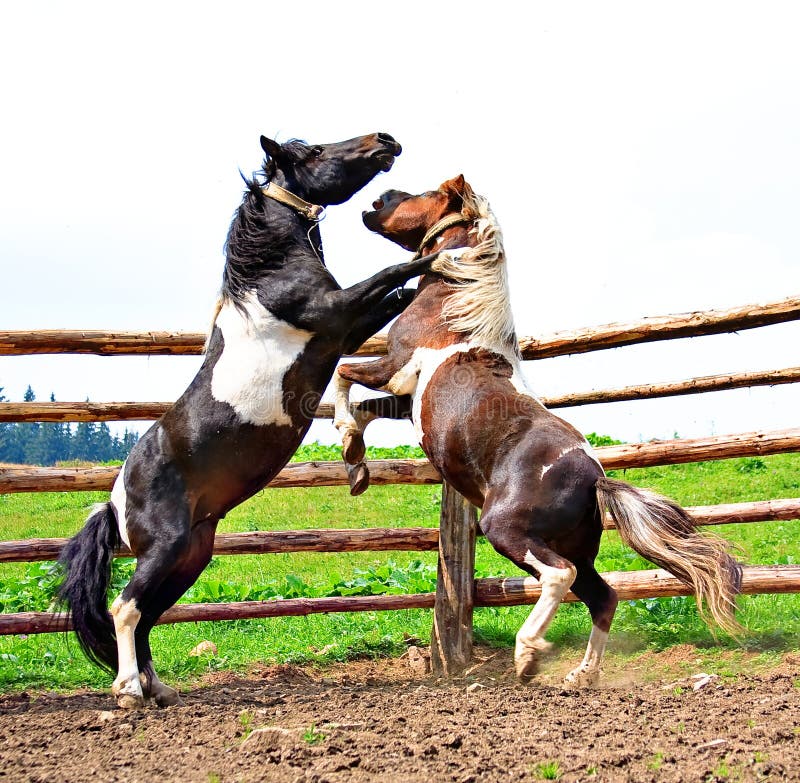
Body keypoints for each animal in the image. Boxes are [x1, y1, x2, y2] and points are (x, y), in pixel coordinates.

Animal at [58, 132, 443, 709]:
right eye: (316, 151)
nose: (385, 140)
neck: (268, 277)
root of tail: (114, 501)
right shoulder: (338, 311)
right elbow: (391, 276)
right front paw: (443, 252)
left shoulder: (349, 330)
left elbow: (398, 292)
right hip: (166, 551)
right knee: (125, 608)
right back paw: (128, 692)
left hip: (189, 556)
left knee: (146, 616)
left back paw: (159, 689)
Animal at [333, 175, 742, 685]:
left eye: (426, 193)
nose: (378, 199)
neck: (453, 307)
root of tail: (594, 478)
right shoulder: (406, 397)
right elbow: (364, 409)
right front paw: (356, 466)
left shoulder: (395, 367)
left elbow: (343, 376)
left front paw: (347, 443)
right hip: (576, 547)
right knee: (603, 595)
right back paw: (580, 676)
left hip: (508, 530)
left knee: (559, 577)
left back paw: (528, 655)